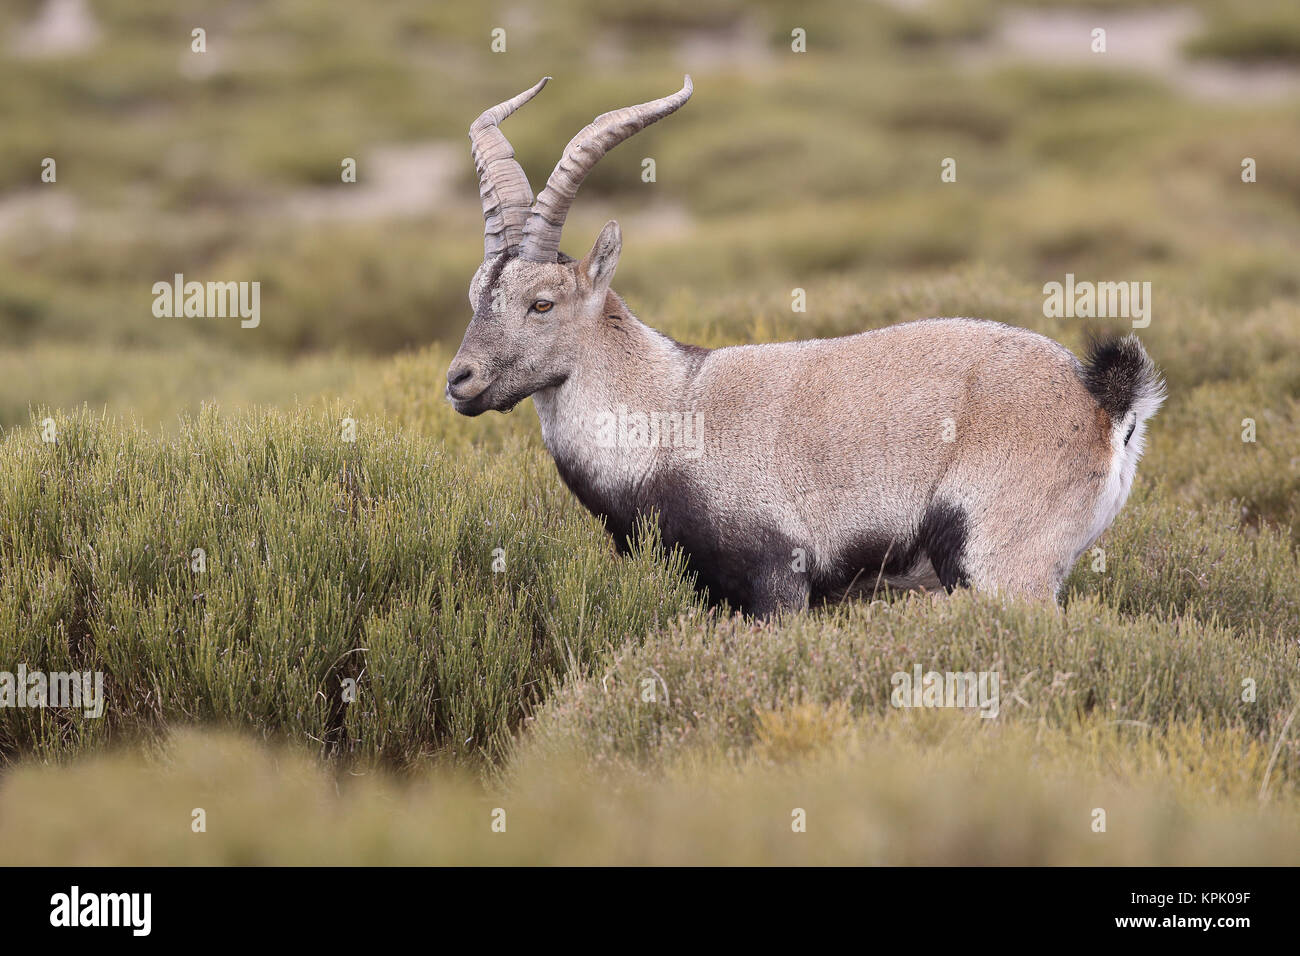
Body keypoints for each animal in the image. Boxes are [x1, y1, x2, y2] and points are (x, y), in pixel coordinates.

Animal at [447, 76, 1166, 617]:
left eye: (543, 302)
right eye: (475, 292)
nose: (461, 380)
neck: (667, 407)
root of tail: (1103, 400)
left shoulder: (778, 584)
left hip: (1004, 568)